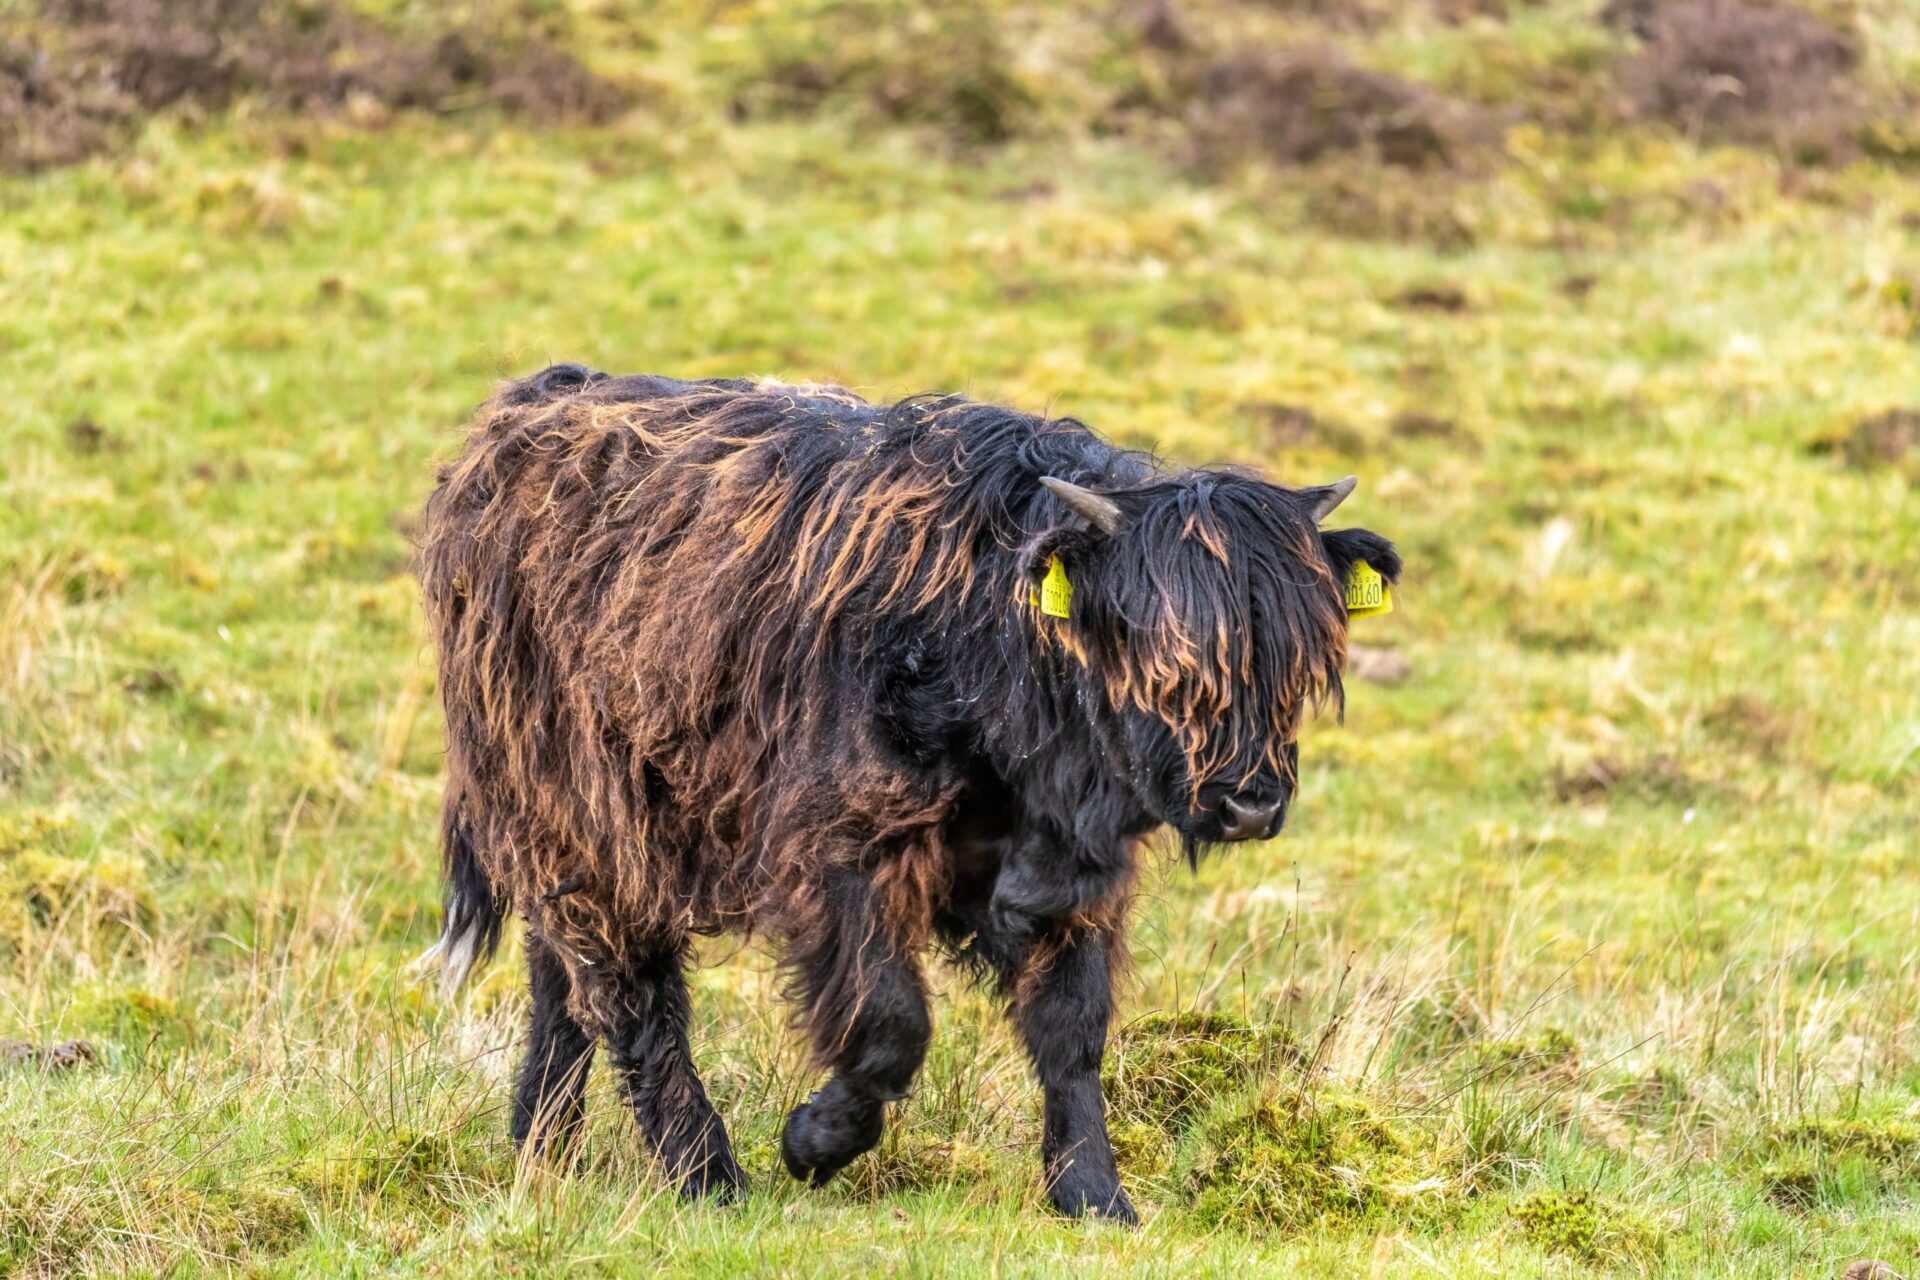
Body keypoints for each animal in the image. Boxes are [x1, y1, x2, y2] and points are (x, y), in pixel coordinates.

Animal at [416, 363, 1402, 1222]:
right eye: (1158, 651)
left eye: (1298, 658)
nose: (1250, 802)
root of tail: (536, 404)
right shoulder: (841, 848)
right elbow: (890, 1022)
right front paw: (814, 1142)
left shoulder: (1076, 875)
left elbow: (1072, 1031)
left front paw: (1094, 1195)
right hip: (589, 814)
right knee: (631, 990)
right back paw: (706, 1174)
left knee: (562, 977)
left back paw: (541, 1147)